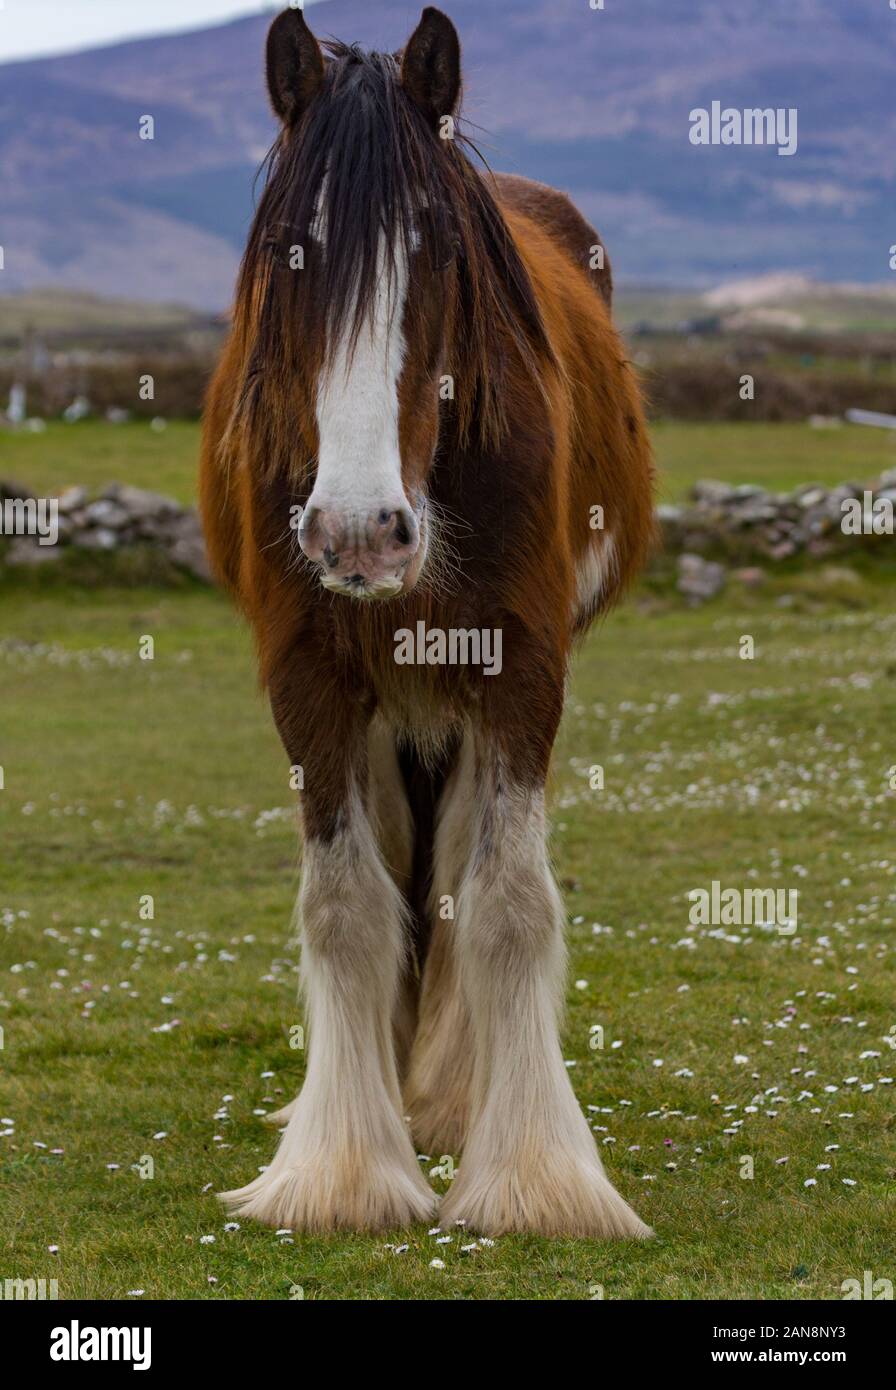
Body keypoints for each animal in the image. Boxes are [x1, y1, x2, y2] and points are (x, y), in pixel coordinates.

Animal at [199, 5, 655, 1238]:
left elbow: (506, 903)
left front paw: (535, 1177)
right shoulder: (306, 677)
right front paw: (344, 1170)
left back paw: (447, 1095)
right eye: (285, 253)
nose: (360, 533)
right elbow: (346, 906)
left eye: (441, 248)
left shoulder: (520, 669)